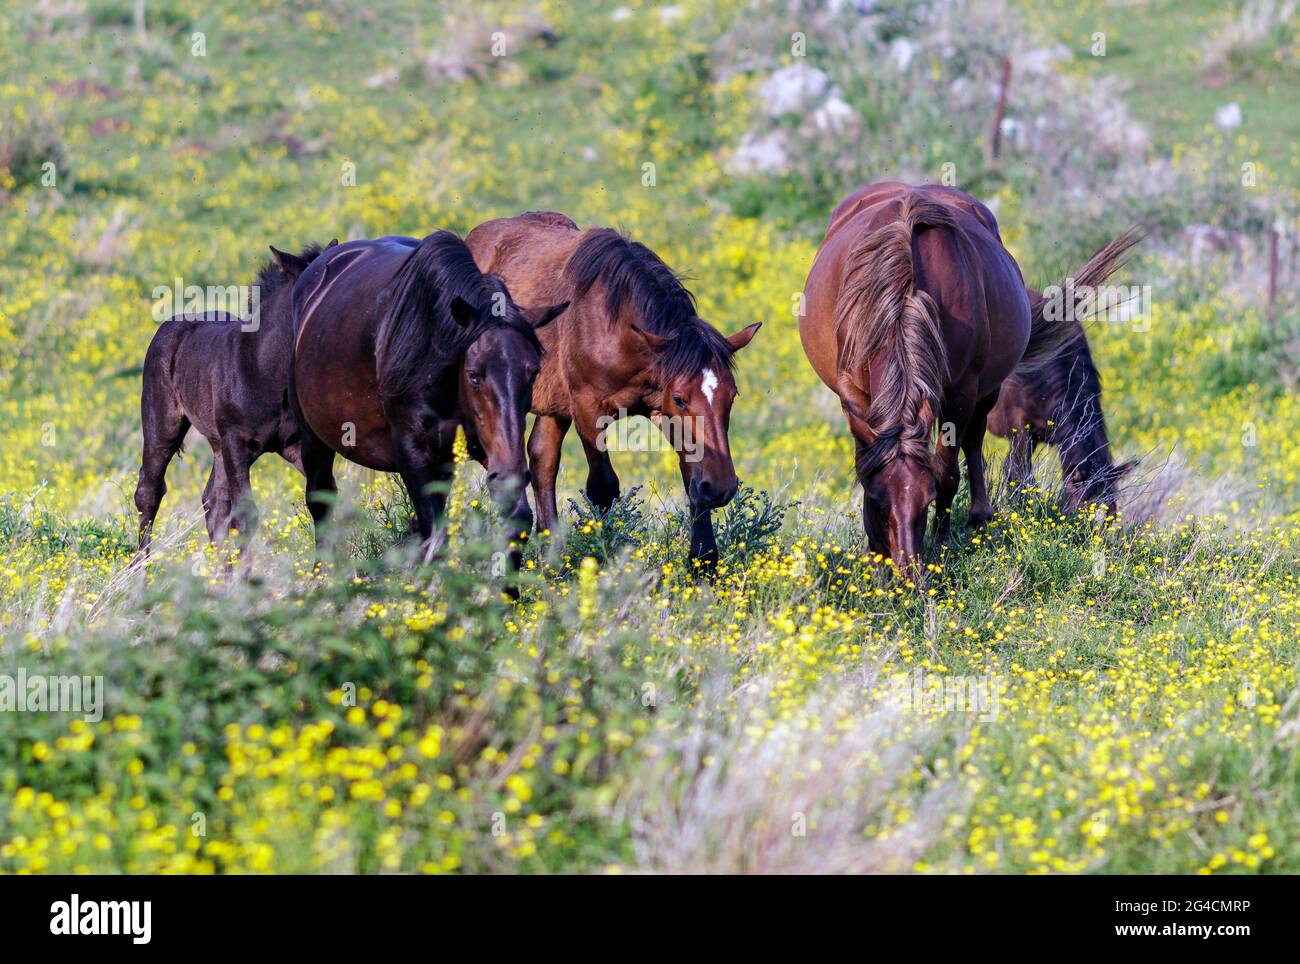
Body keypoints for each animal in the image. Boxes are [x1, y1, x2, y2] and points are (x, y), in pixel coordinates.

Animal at [134, 240, 336, 555]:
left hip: (218, 444)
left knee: (213, 502)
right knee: (149, 491)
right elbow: (245, 515)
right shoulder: (236, 442)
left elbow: (323, 501)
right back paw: (142, 568)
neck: (265, 370)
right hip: (164, 424)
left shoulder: (295, 445)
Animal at [289, 231, 568, 563]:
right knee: (320, 500)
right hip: (314, 439)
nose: (509, 474)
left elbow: (516, 520)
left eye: (533, 373)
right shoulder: (411, 451)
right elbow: (436, 537)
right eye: (473, 374)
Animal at [465, 211, 762, 570]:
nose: (722, 489)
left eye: (732, 396)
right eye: (680, 398)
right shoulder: (587, 406)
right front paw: (603, 551)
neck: (619, 330)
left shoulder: (660, 411)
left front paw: (703, 560)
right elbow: (603, 486)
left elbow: (693, 476)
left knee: (541, 459)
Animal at [800, 182, 1075, 579]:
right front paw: (874, 555)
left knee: (974, 441)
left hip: (988, 392)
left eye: (926, 500)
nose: (909, 576)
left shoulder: (960, 393)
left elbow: (947, 470)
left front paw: (942, 546)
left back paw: (979, 516)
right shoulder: (853, 392)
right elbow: (866, 461)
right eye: (878, 501)